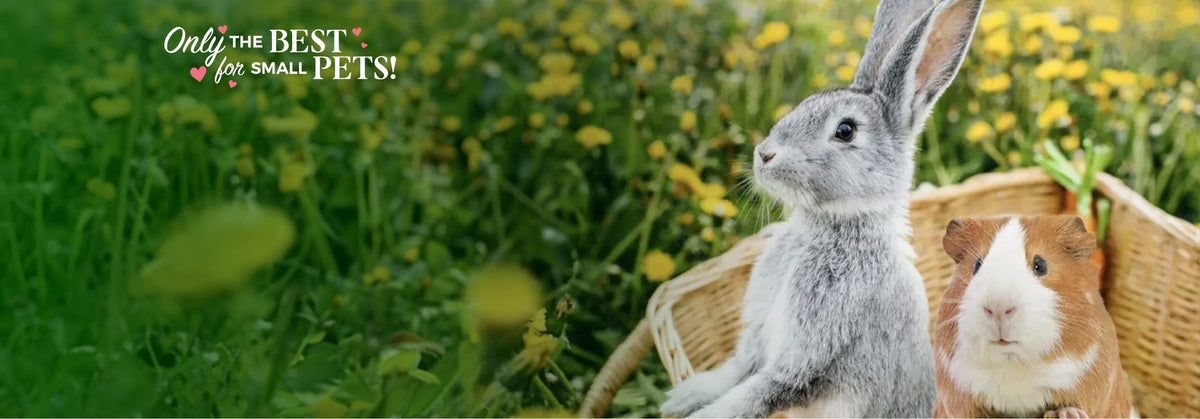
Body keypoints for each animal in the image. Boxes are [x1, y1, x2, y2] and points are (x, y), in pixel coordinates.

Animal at [659, 0, 984, 417]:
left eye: (845, 131)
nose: (763, 154)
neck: (826, 227)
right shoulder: (759, 336)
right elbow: (736, 369)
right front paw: (682, 397)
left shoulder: (808, 352)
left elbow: (756, 391)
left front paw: (701, 412)